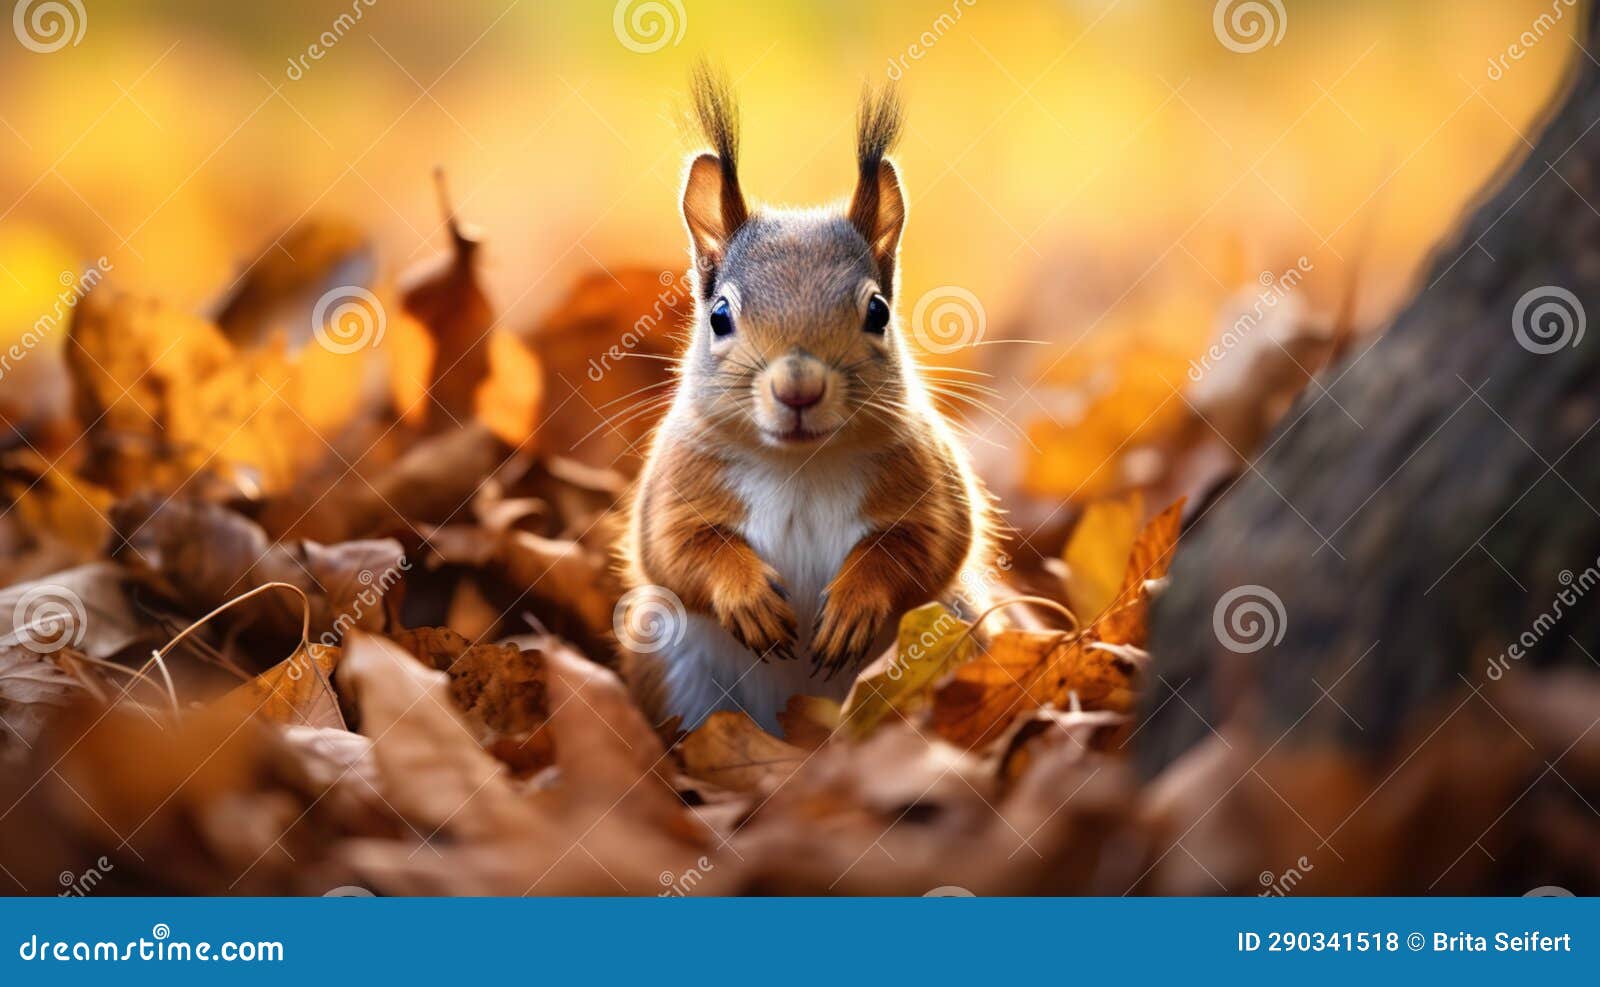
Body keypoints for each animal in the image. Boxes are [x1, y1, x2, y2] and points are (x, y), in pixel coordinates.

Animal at [619, 69, 999, 733]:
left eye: (878, 311)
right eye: (719, 315)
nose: (798, 387)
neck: (800, 465)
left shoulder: (932, 484)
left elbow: (923, 545)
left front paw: (853, 604)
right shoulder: (673, 486)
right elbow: (678, 549)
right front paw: (747, 598)